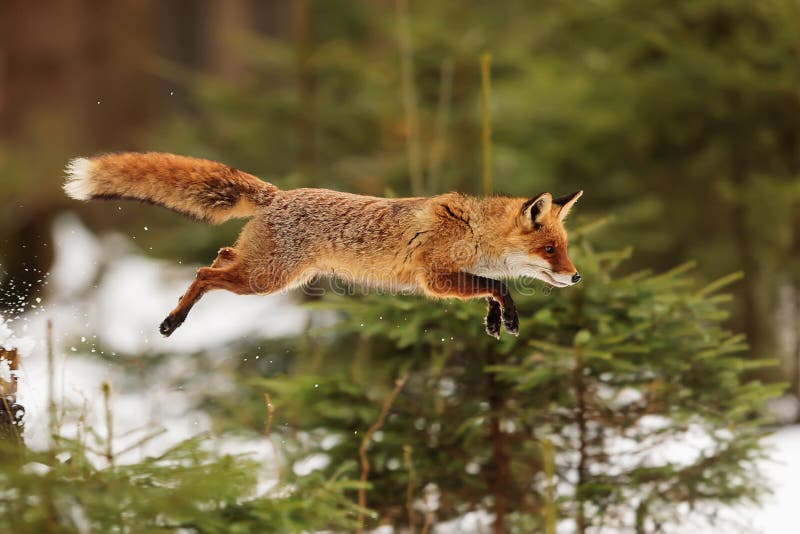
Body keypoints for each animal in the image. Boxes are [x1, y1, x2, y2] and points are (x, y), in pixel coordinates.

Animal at [63, 152, 583, 339]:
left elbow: (493, 288)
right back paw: (174, 320)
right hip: (267, 280)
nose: (576, 276)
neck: (473, 232)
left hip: (264, 271)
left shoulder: (456, 277)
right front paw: (506, 315)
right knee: (204, 273)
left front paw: (497, 321)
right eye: (550, 251)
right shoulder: (434, 279)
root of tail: (278, 194)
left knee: (220, 258)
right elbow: (499, 286)